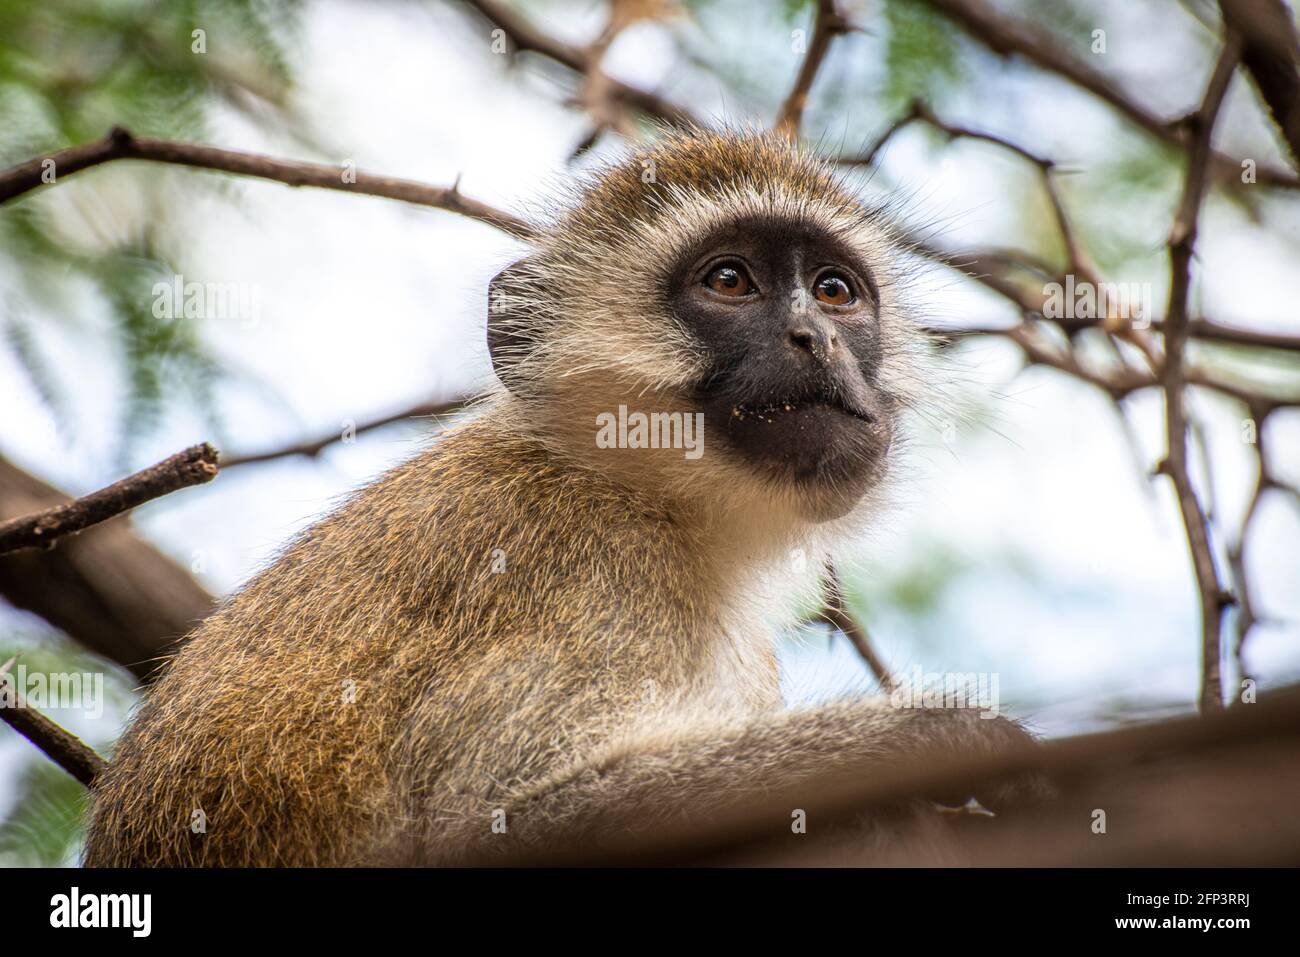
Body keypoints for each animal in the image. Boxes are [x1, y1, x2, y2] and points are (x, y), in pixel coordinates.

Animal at [82, 129, 1040, 867]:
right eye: (730, 281)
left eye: (836, 293)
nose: (814, 337)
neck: (641, 494)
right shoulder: (581, 561)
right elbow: (498, 823)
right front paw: (926, 741)